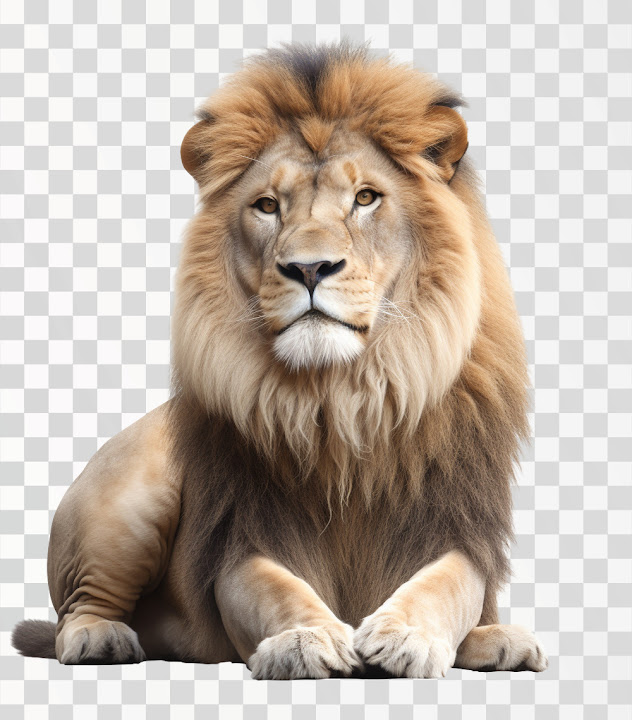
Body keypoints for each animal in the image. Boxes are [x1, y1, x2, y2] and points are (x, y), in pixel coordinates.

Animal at [12, 43, 547, 679]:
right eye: (267, 206)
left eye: (365, 197)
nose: (310, 268)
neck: (343, 400)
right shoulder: (242, 533)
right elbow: (275, 588)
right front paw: (305, 638)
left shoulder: (454, 522)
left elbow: (448, 584)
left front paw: (404, 636)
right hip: (128, 502)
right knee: (78, 607)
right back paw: (101, 638)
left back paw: (500, 640)